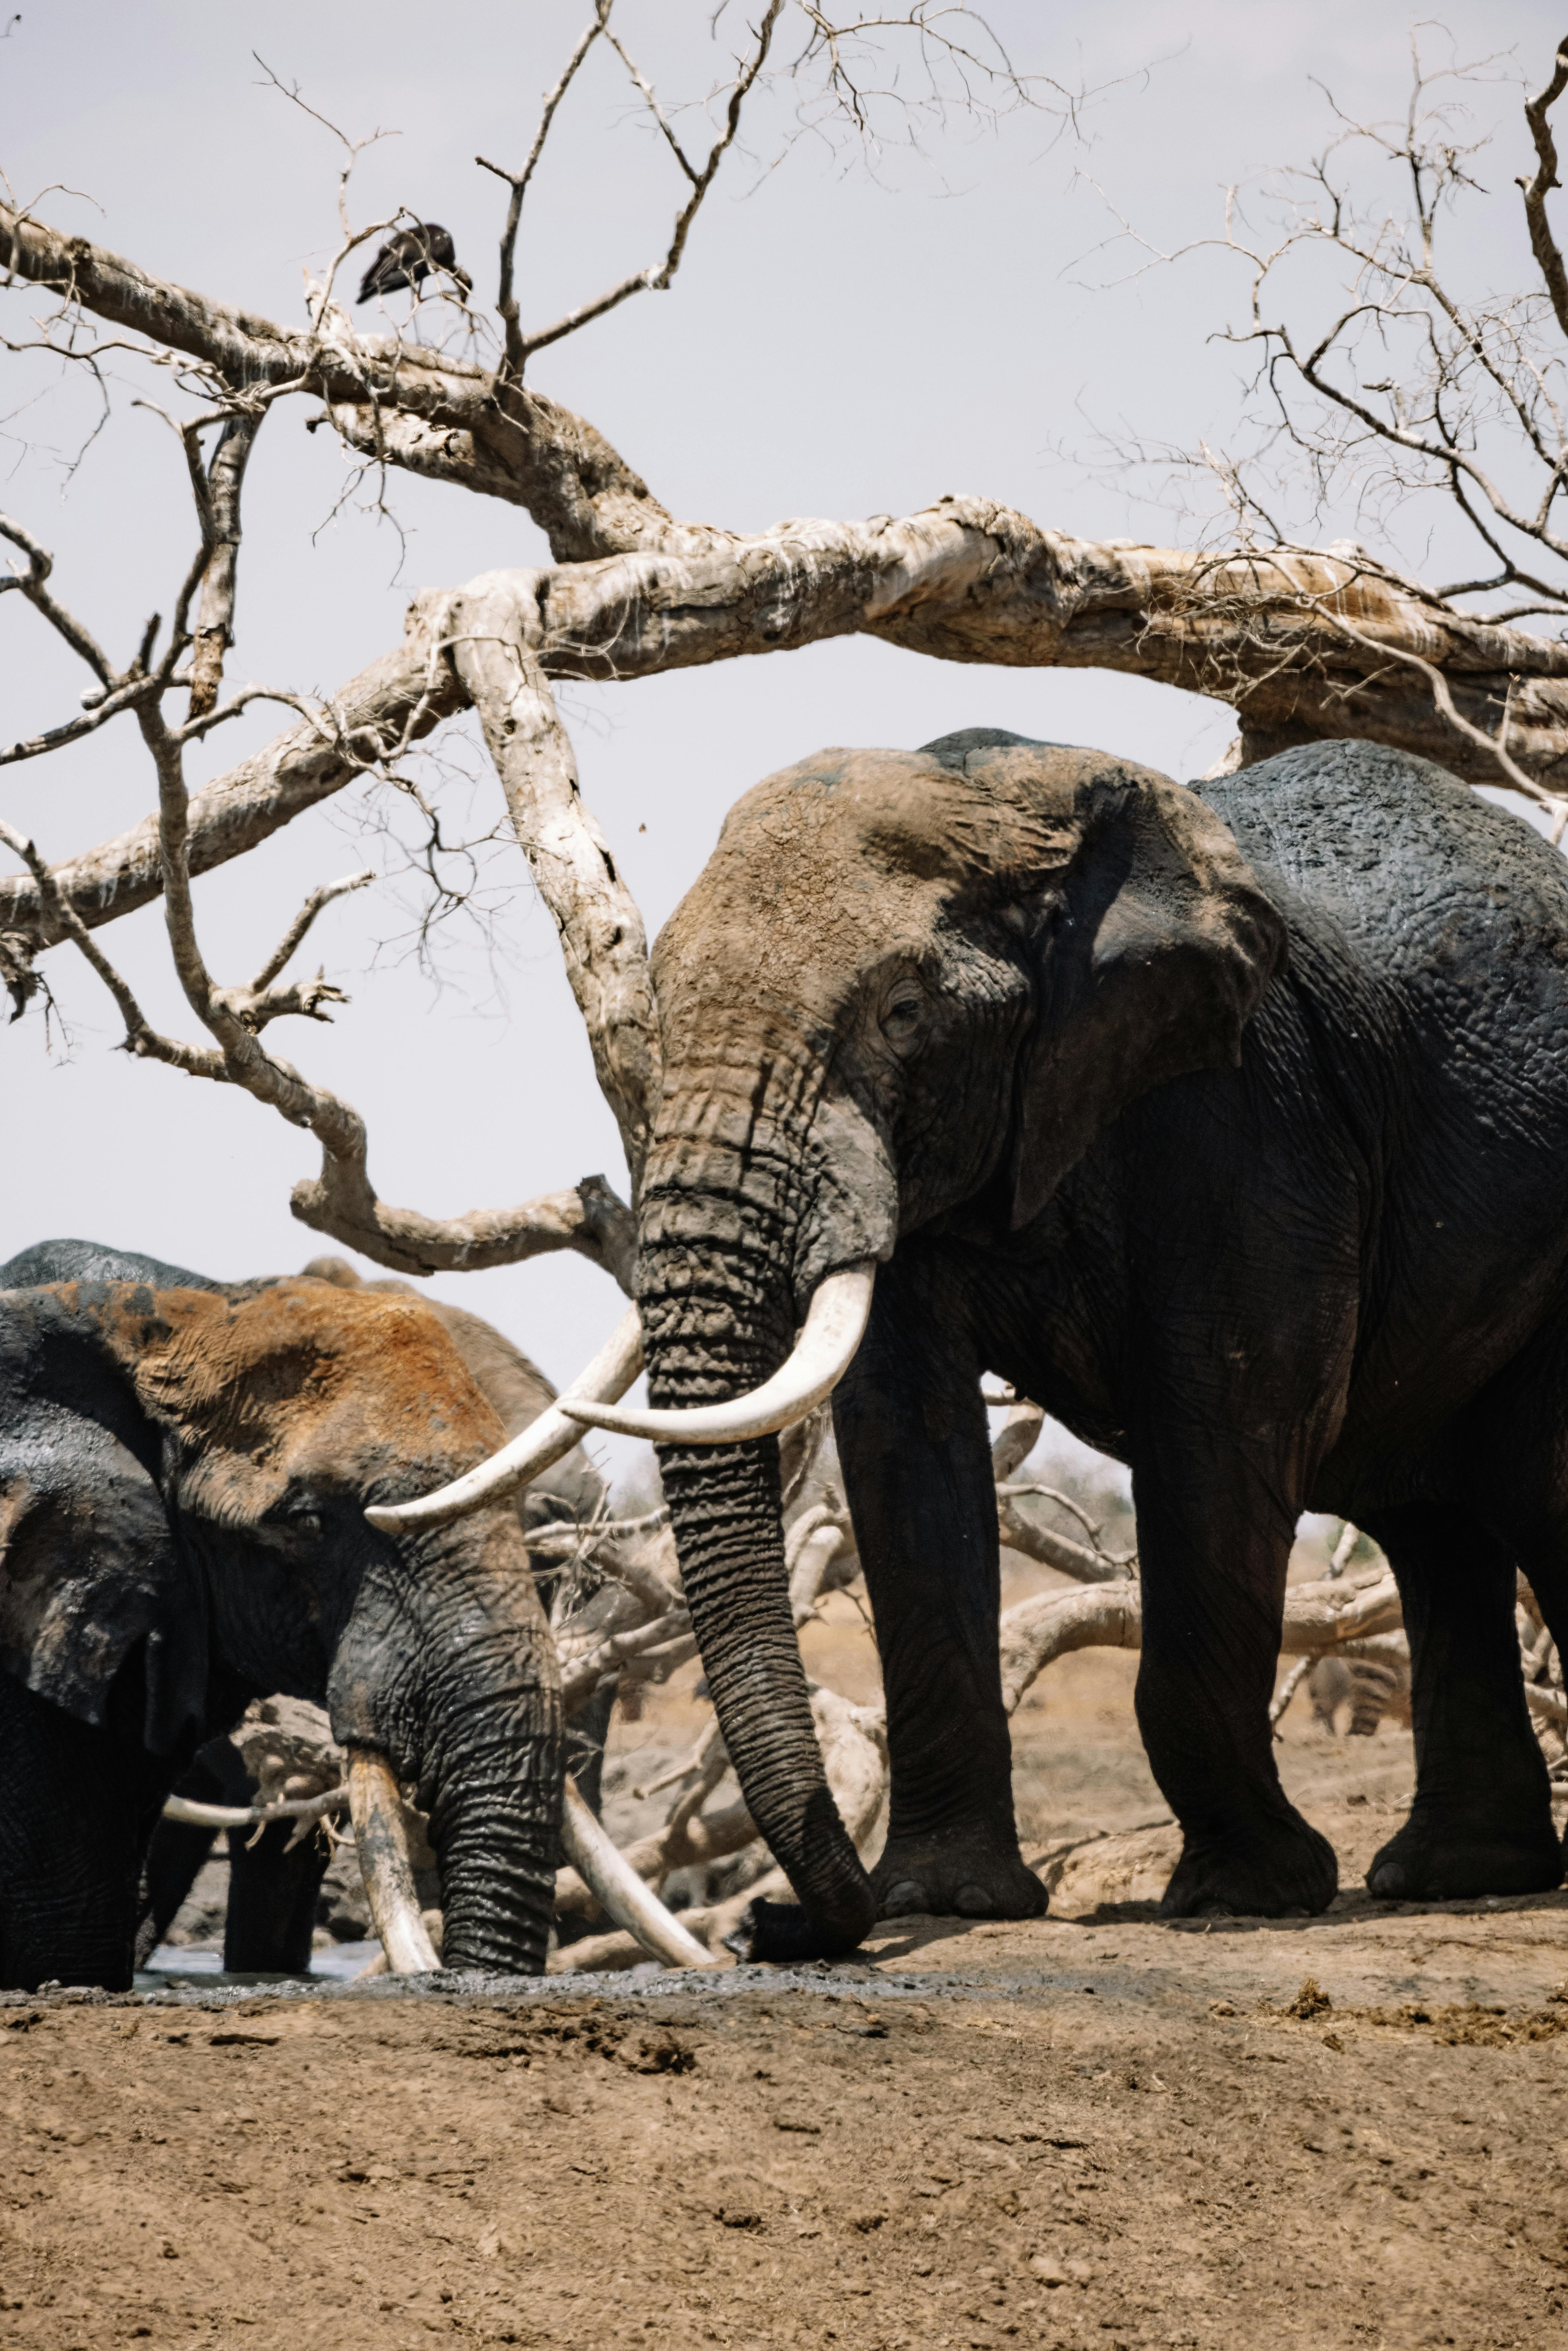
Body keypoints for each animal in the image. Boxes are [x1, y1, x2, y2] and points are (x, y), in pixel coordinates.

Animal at [514, 730, 1568, 1959]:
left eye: (903, 1012)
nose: (767, 1922)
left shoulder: (1253, 1111)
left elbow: (1221, 1430)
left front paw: (1249, 1891)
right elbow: (905, 1449)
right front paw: (946, 1899)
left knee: (1531, 1496)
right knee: (1434, 1523)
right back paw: (1451, 1873)